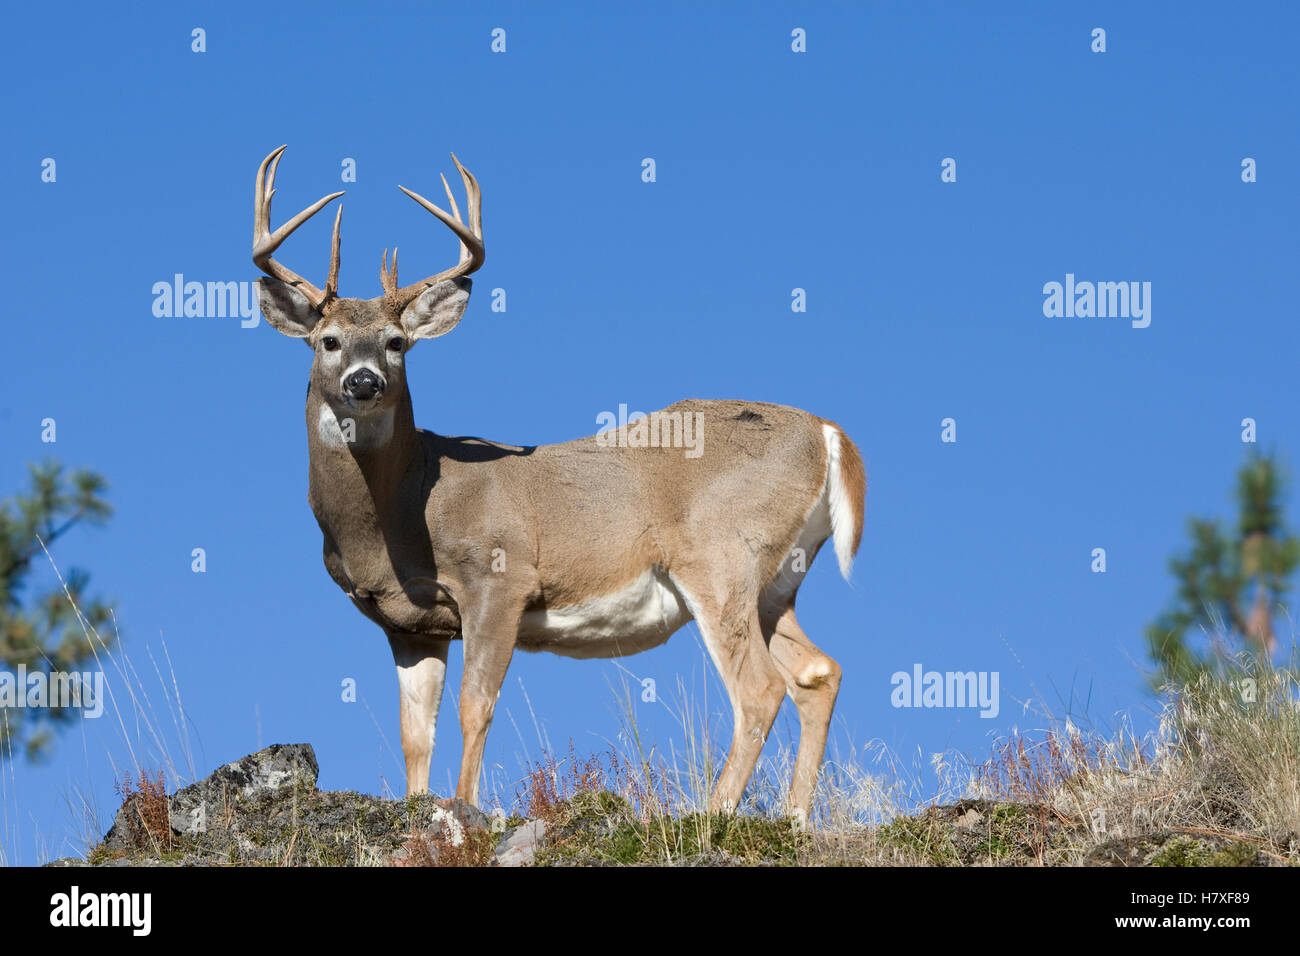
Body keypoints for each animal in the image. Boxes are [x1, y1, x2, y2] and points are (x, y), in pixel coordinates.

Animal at [251, 146, 867, 822]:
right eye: (327, 341)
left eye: (397, 343)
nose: (364, 382)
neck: (405, 507)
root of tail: (830, 434)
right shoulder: (409, 626)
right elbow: (415, 736)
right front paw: (420, 809)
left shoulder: (499, 579)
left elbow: (474, 709)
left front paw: (466, 810)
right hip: (776, 582)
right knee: (819, 672)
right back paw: (794, 820)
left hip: (720, 556)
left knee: (760, 688)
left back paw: (713, 815)